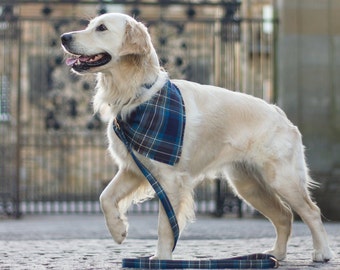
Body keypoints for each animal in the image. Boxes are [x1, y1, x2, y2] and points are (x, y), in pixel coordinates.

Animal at [59, 12, 334, 262]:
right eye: (90, 25)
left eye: (102, 28)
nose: (64, 37)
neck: (137, 96)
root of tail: (280, 114)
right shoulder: (134, 168)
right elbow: (105, 197)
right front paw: (118, 230)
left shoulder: (169, 179)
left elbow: (165, 225)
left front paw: (161, 259)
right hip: (248, 185)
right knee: (284, 216)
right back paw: (276, 254)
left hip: (282, 178)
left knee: (311, 211)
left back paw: (322, 252)